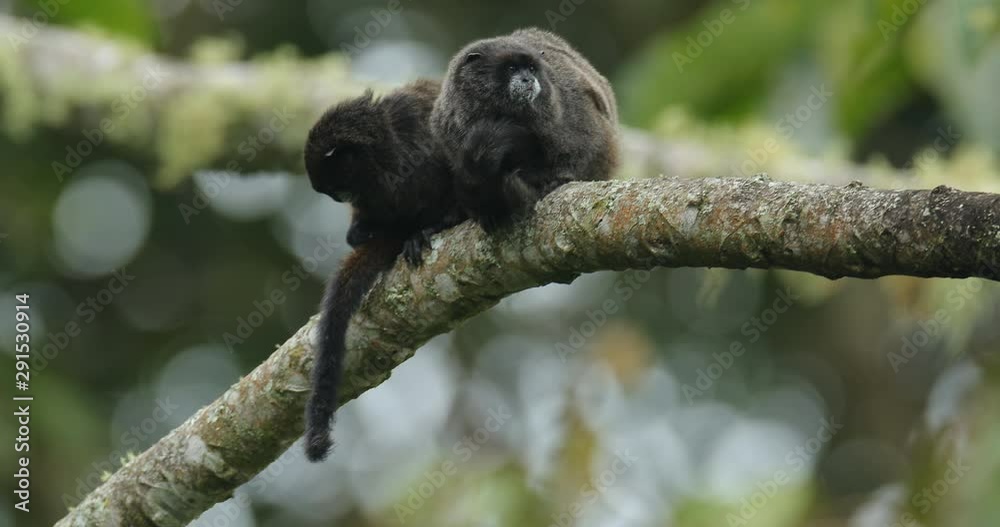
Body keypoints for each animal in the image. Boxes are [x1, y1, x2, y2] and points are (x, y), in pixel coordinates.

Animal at [431, 27, 620, 231]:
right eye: (511, 68)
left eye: (531, 69)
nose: (528, 79)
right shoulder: (450, 124)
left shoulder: (565, 105)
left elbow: (584, 145)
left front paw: (559, 179)